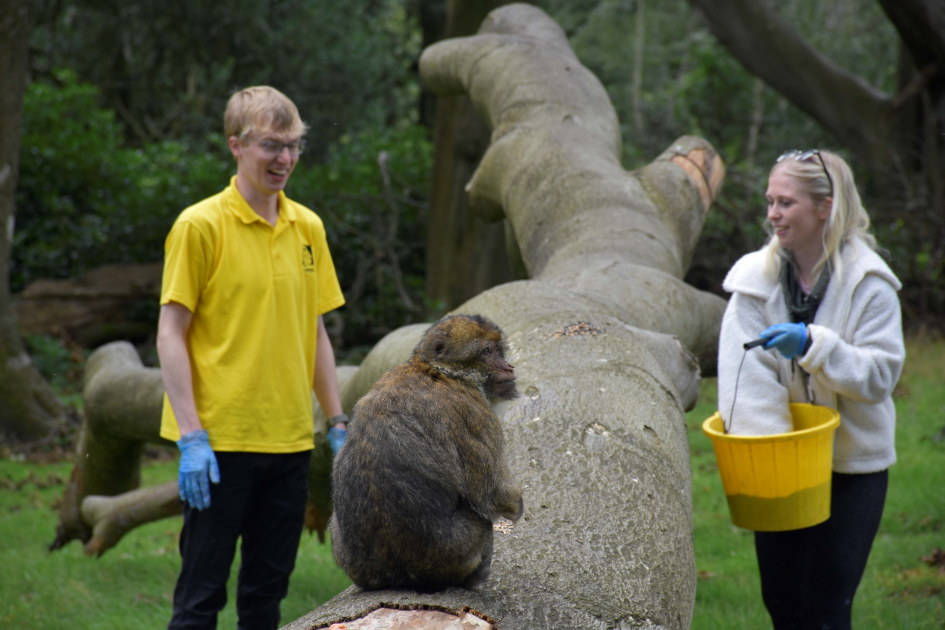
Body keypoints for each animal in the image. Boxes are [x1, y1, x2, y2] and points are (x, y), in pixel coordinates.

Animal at [329, 314, 524, 591]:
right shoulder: (475, 410)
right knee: (483, 524)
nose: (508, 366)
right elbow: (497, 494)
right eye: (487, 351)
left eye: (498, 349)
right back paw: (474, 581)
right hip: (453, 558)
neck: (438, 370)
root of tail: (393, 577)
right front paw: (515, 505)